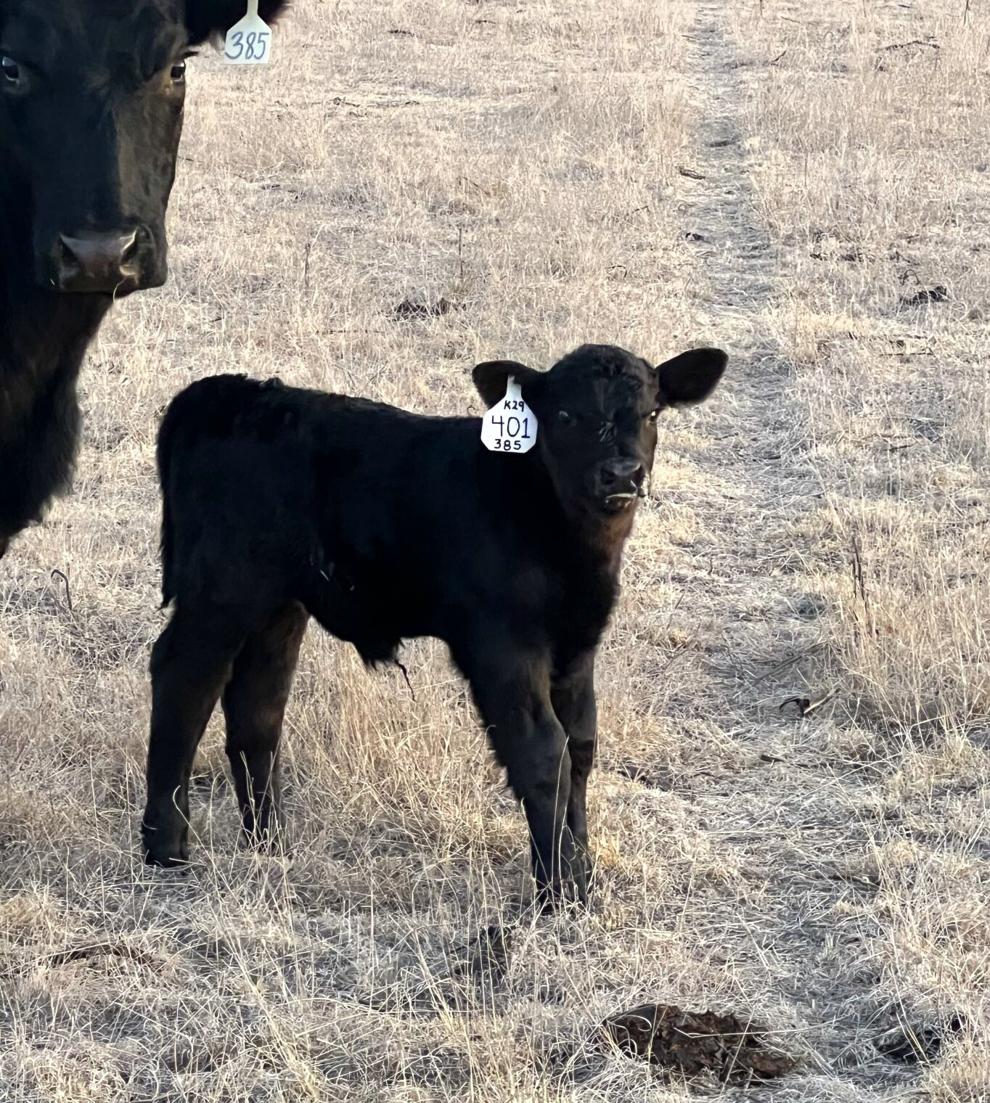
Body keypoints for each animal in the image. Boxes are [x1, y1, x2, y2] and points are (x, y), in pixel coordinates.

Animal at [140, 343, 726, 906]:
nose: (622, 473)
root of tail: (229, 391)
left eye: (652, 412)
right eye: (564, 414)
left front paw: (580, 875)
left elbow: (579, 749)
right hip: (220, 590)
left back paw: (270, 841)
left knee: (258, 701)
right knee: (184, 679)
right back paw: (165, 846)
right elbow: (543, 753)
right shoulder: (503, 647)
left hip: (279, 606)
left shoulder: (576, 648)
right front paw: (559, 891)